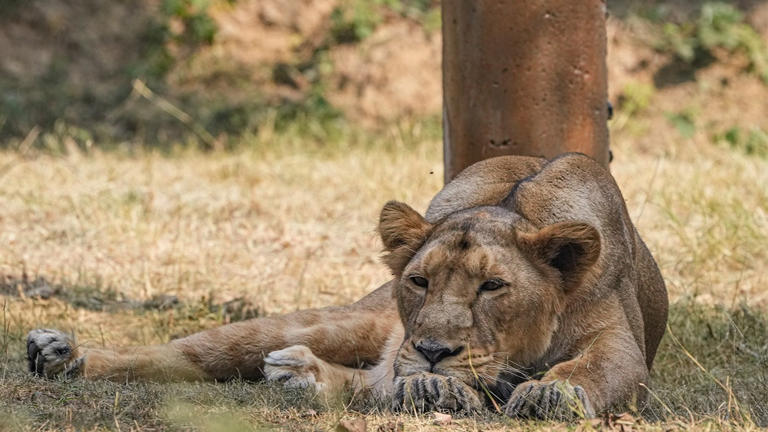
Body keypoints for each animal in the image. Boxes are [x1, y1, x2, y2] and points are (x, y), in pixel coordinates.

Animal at [26, 153, 668, 419]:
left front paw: (550, 393)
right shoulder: (401, 346)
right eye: (419, 281)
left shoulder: (621, 345)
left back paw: (301, 376)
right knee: (191, 354)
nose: (432, 352)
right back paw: (61, 355)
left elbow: (593, 367)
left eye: (493, 286)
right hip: (330, 322)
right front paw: (436, 386)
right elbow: (397, 378)